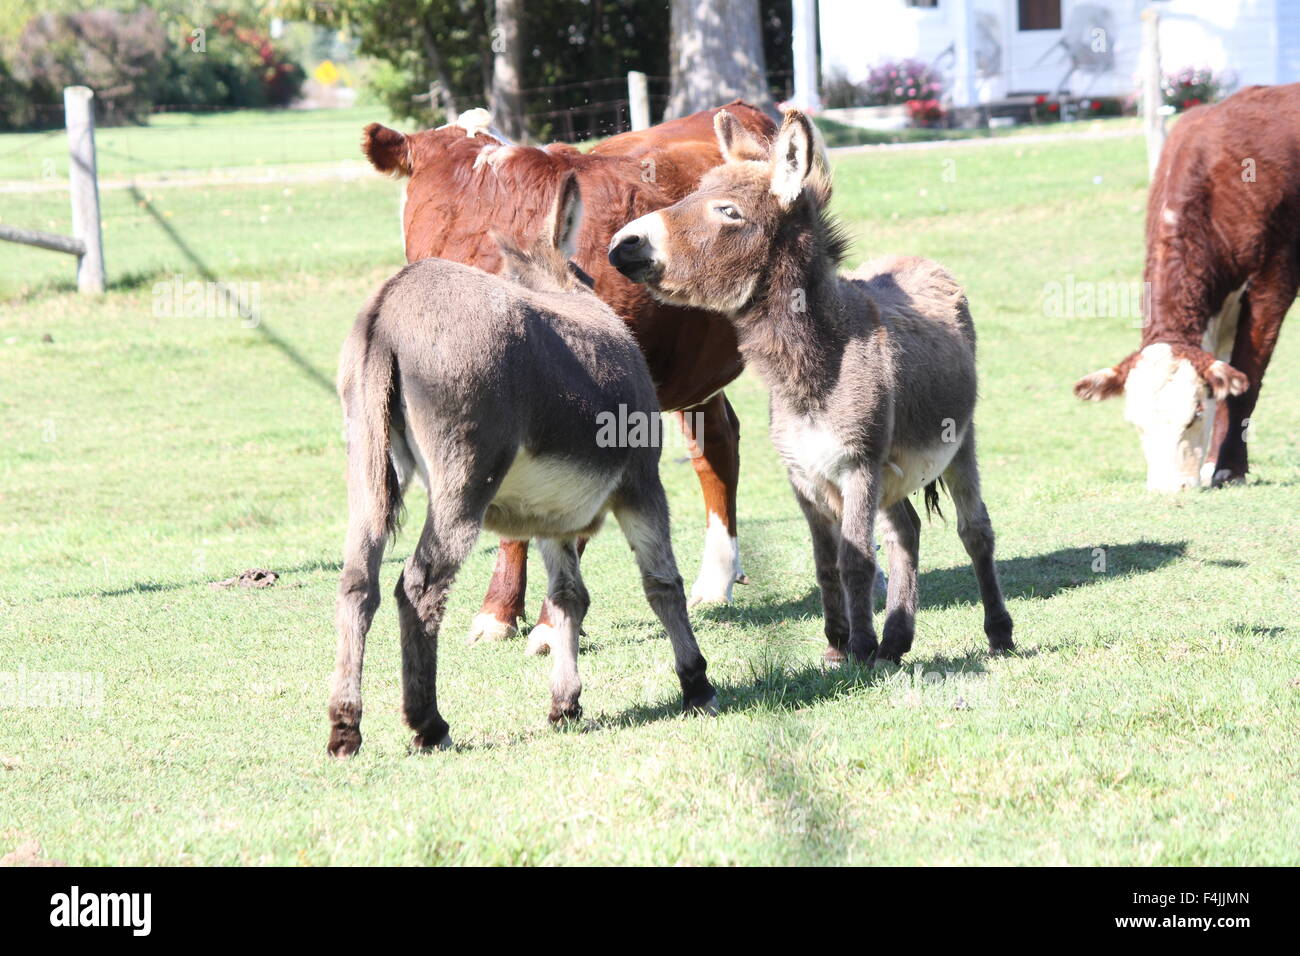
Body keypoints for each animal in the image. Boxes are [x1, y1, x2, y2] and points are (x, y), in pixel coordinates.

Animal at [1074, 83, 1299, 491]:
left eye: (1194, 413)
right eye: (1135, 422)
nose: (1168, 487)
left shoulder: (1272, 282)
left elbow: (1244, 385)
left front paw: (1230, 466)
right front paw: (1212, 464)